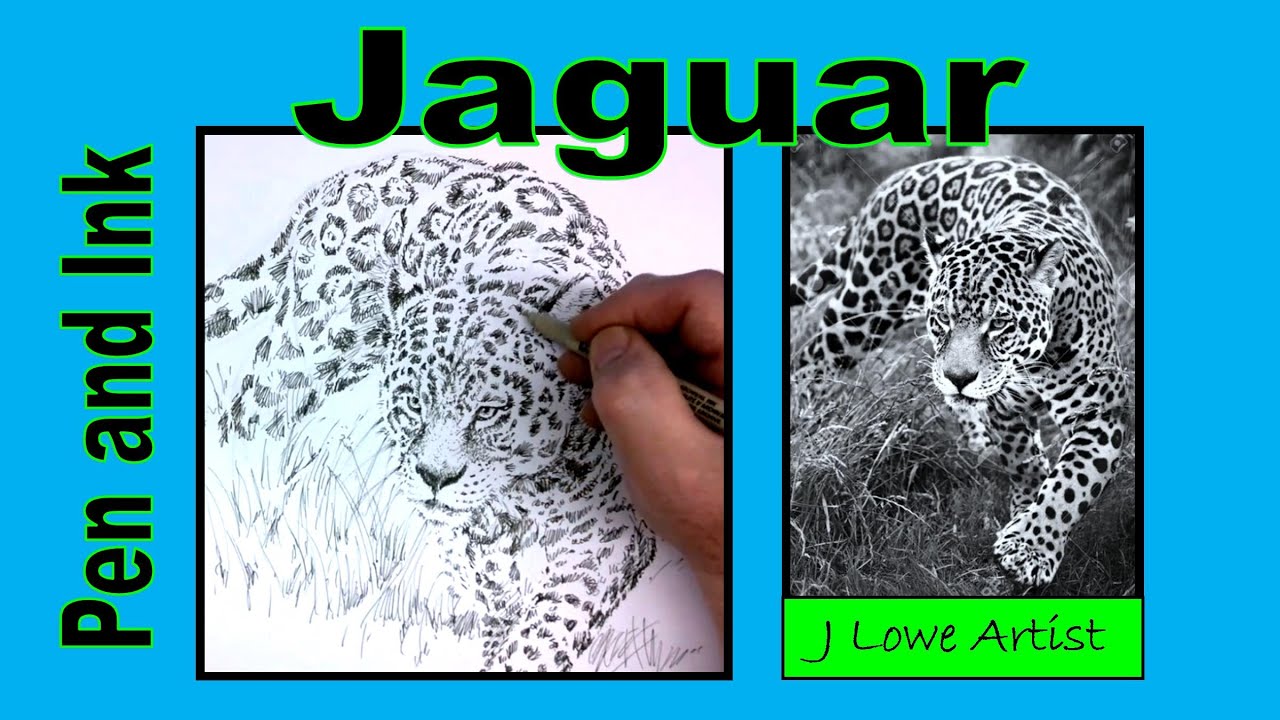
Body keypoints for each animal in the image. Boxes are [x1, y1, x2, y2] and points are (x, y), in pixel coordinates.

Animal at [203, 151, 656, 671]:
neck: (523, 495)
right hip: (299, 357)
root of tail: (331, 187)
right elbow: (495, 587)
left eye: (489, 411)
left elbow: (545, 623)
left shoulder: (613, 540)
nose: (435, 478)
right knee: (241, 427)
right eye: (413, 402)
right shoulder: (467, 537)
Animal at [789, 154, 1130, 588]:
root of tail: (894, 180)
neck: (1033, 361)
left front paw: (1030, 546)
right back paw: (806, 426)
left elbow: (1071, 483)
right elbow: (1024, 462)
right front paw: (1024, 518)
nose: (959, 378)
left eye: (999, 323)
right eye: (943, 318)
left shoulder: (1100, 411)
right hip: (863, 309)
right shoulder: (1005, 406)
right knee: (812, 356)